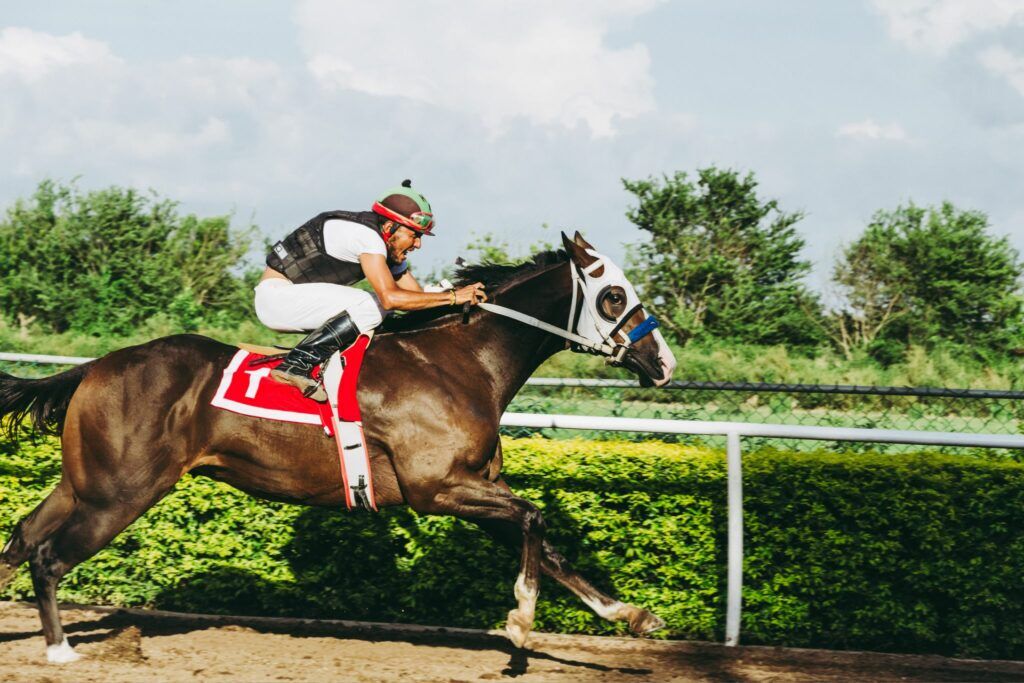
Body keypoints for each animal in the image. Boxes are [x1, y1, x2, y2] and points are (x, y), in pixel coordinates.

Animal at [0, 232, 676, 663]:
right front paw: (521, 620)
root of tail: (94, 367)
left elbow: (546, 542)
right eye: (613, 295)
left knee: (24, 536)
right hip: (120, 493)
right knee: (49, 557)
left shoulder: (476, 488)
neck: (460, 361)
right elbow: (536, 520)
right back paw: (59, 650)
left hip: (85, 483)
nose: (664, 363)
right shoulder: (438, 488)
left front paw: (630, 615)